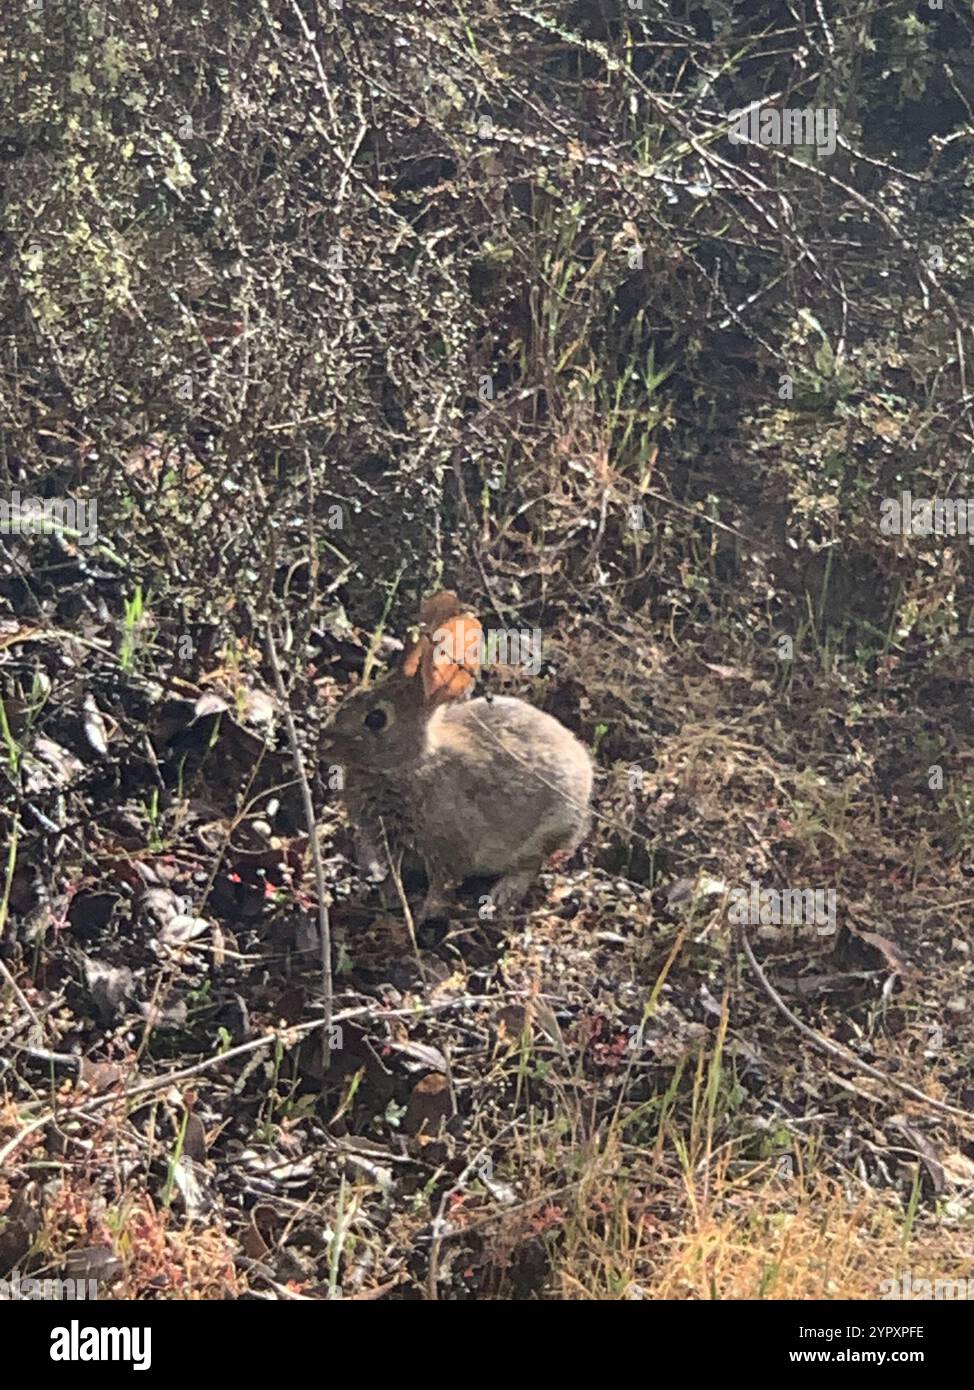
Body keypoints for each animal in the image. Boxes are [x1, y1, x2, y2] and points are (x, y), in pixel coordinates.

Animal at [321, 592, 593, 922]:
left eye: (375, 719)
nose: (324, 742)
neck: (411, 764)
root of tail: (585, 770)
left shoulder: (448, 847)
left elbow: (443, 883)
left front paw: (425, 913)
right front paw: (390, 898)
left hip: (550, 826)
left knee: (531, 863)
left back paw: (502, 895)